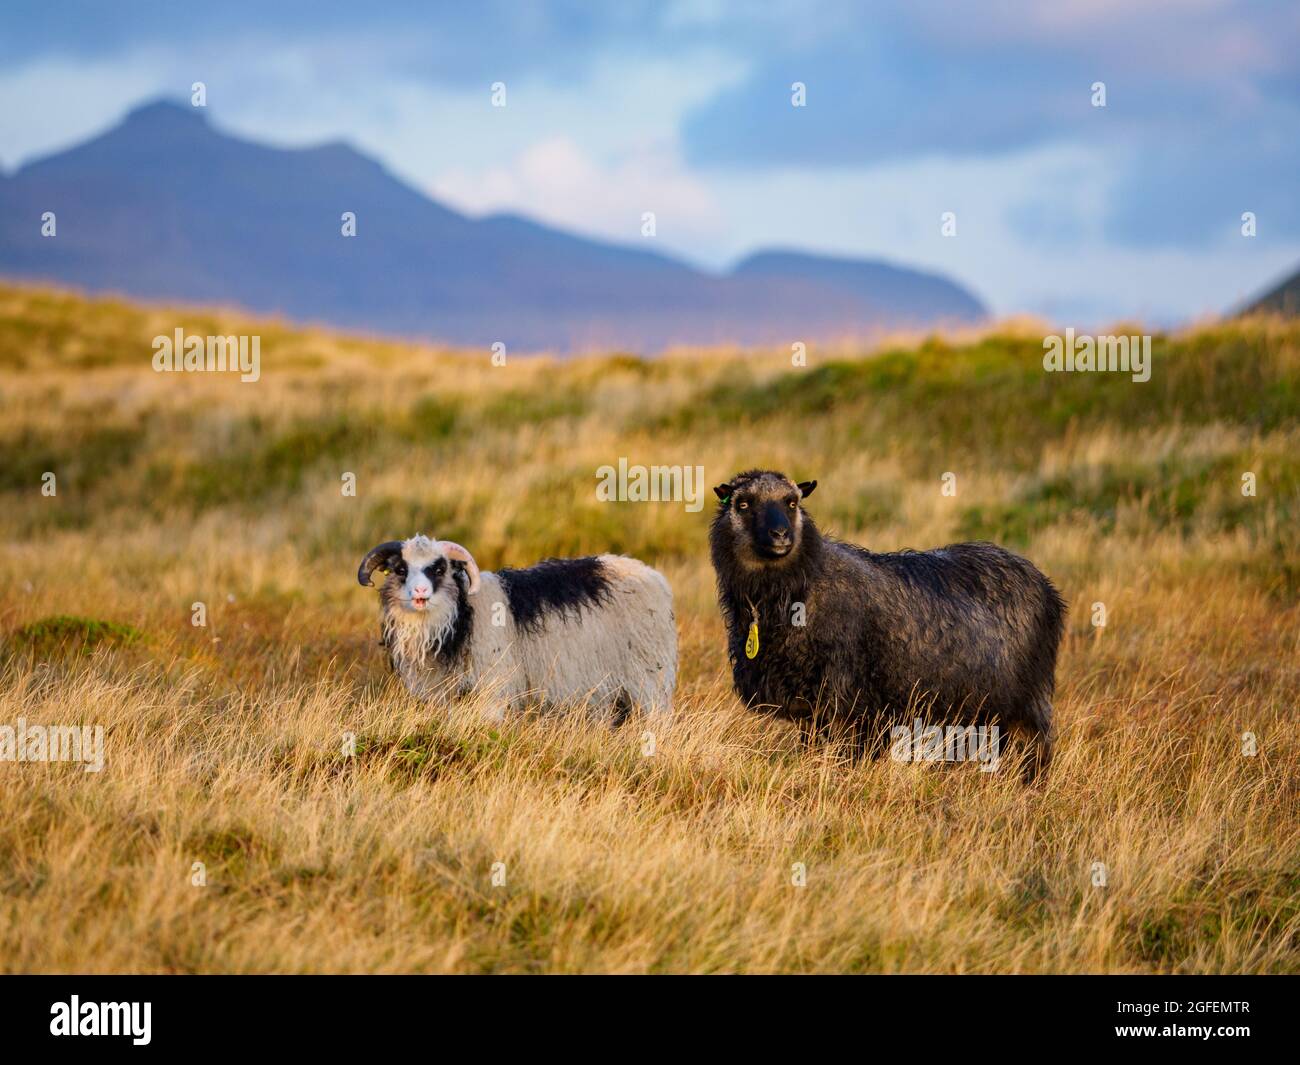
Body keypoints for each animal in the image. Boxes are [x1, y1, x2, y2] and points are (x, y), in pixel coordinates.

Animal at [357, 535, 676, 720]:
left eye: (439, 569)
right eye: (401, 570)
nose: (420, 592)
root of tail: (653, 574)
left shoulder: (493, 690)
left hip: (649, 675)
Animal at [709, 470, 1065, 778]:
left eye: (792, 502)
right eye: (743, 504)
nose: (781, 535)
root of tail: (1045, 584)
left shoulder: (847, 701)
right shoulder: (816, 708)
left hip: (1028, 698)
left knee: (1036, 748)